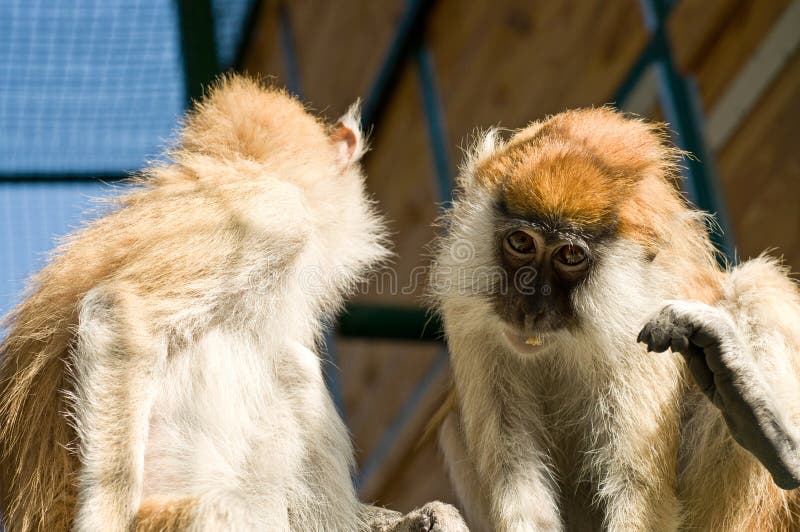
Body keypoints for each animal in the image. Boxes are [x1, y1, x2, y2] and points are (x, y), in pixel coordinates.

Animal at [427, 107, 800, 531]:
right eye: (521, 242)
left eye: (570, 255)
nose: (529, 307)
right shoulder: (471, 318)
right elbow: (515, 477)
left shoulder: (643, 314)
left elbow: (637, 486)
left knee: (758, 284)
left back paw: (765, 429)